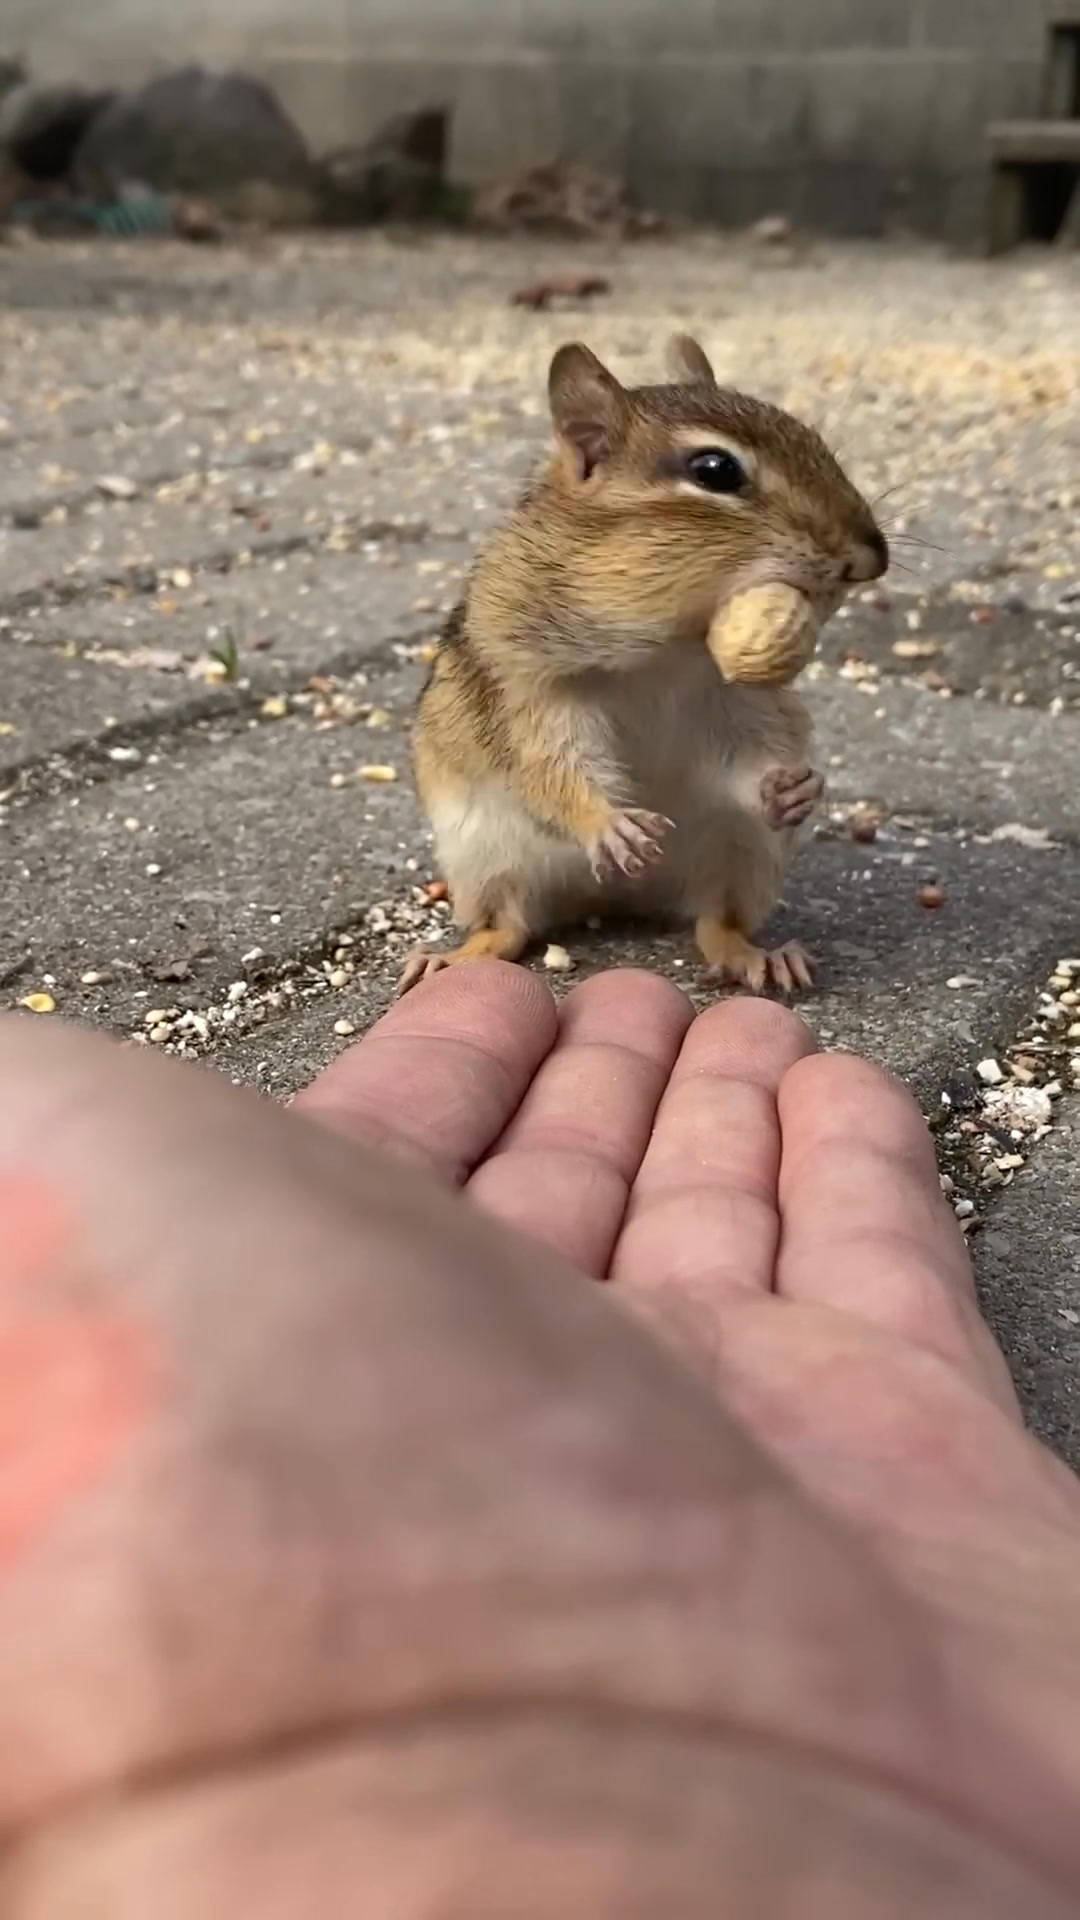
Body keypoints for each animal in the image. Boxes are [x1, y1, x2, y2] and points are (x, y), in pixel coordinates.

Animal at [400, 333, 887, 995]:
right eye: (715, 470)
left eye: (812, 436)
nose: (872, 556)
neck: (671, 647)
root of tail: (617, 899)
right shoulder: (529, 686)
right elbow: (545, 764)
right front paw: (607, 823)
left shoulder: (739, 703)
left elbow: (745, 758)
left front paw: (792, 788)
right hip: (485, 856)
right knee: (509, 925)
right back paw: (457, 956)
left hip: (745, 853)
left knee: (716, 920)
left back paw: (756, 955)